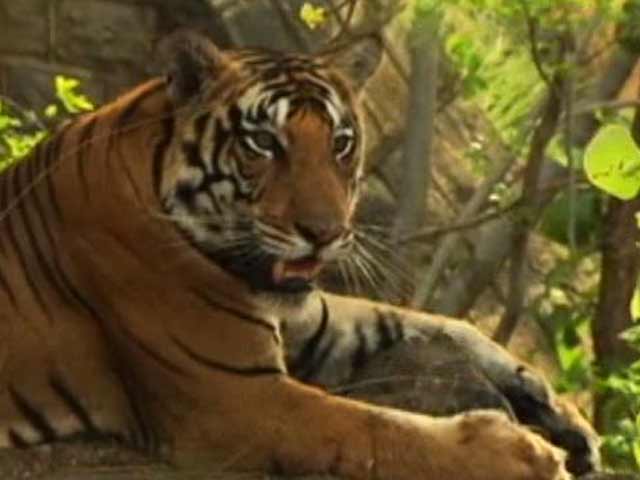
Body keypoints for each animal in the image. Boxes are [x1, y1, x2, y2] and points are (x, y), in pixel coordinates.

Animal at [0, 31, 599, 479]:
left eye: (341, 143)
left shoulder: (303, 319)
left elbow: (437, 323)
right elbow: (374, 429)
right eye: (263, 143)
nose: (325, 232)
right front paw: (518, 454)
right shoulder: (234, 397)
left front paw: (562, 412)